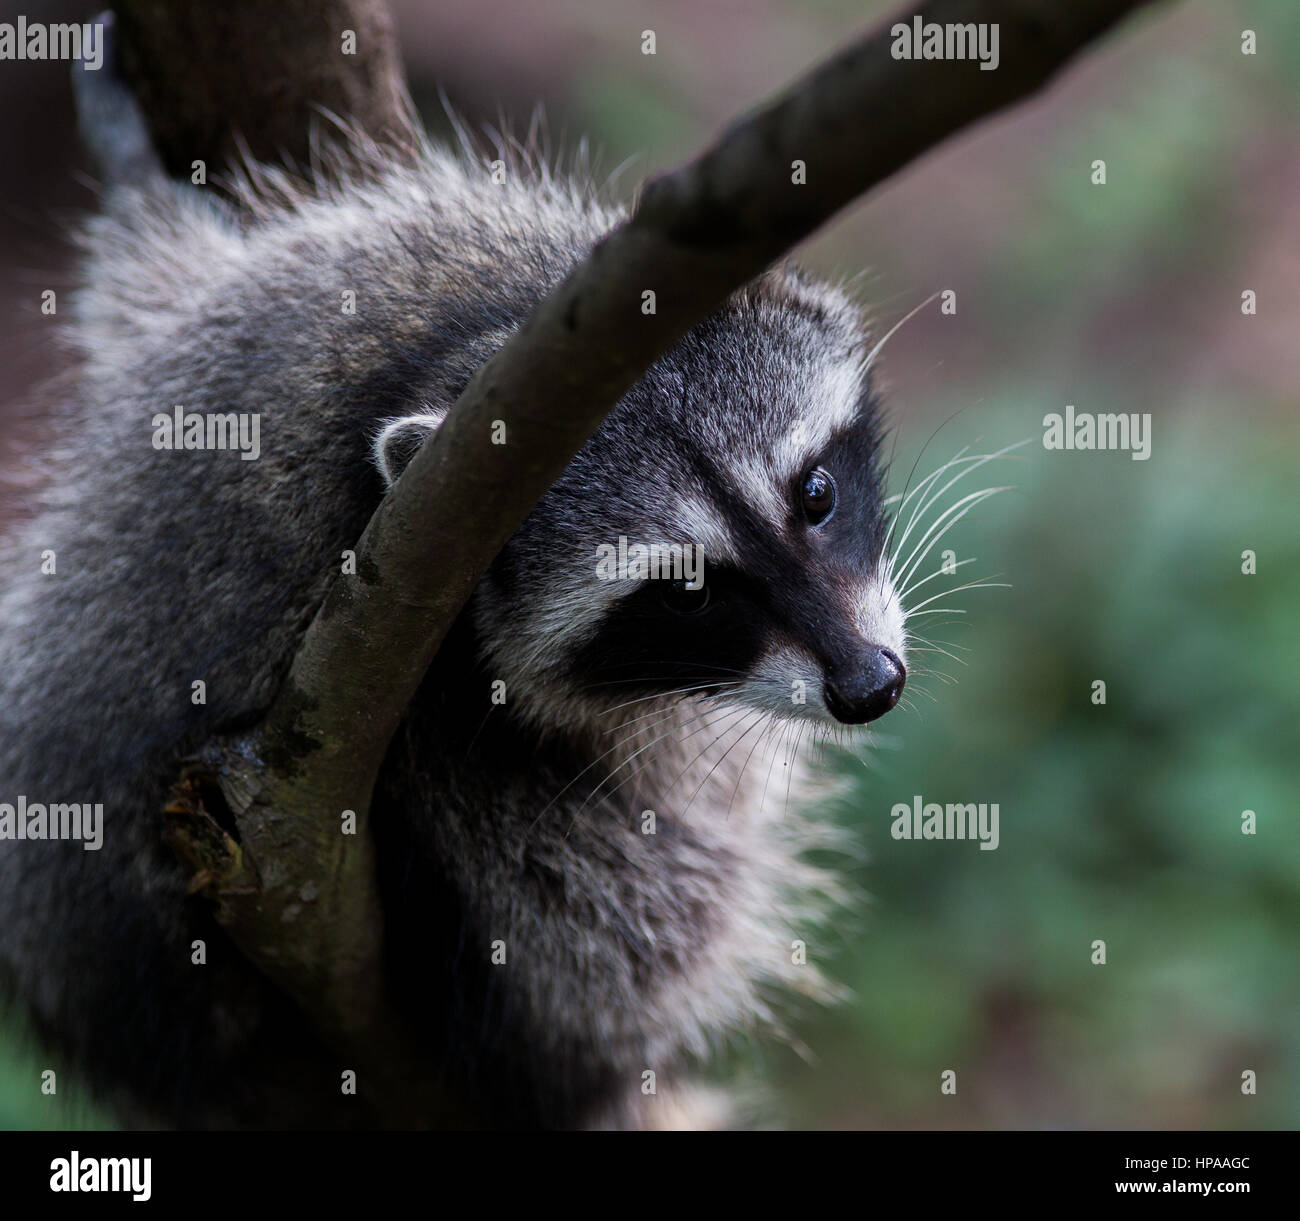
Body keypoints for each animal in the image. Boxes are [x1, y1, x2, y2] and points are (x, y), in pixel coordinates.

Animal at [0, 49, 913, 1130]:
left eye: (814, 494)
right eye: (685, 594)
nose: (869, 685)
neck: (465, 354)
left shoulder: (337, 290)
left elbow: (154, 299)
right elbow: (612, 934)